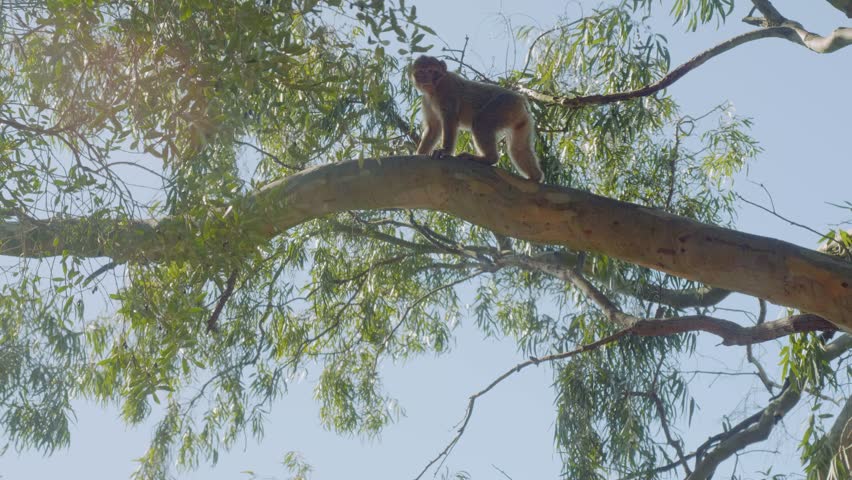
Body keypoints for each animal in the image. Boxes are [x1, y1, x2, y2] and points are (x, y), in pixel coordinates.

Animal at [410, 55, 544, 182]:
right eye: (421, 71)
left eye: (431, 71)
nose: (425, 77)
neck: (434, 89)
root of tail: (521, 99)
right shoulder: (426, 101)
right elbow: (434, 127)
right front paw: (419, 153)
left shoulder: (447, 87)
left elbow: (450, 118)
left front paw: (445, 151)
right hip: (521, 118)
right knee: (518, 148)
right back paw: (535, 177)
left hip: (505, 105)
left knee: (481, 122)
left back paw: (488, 158)